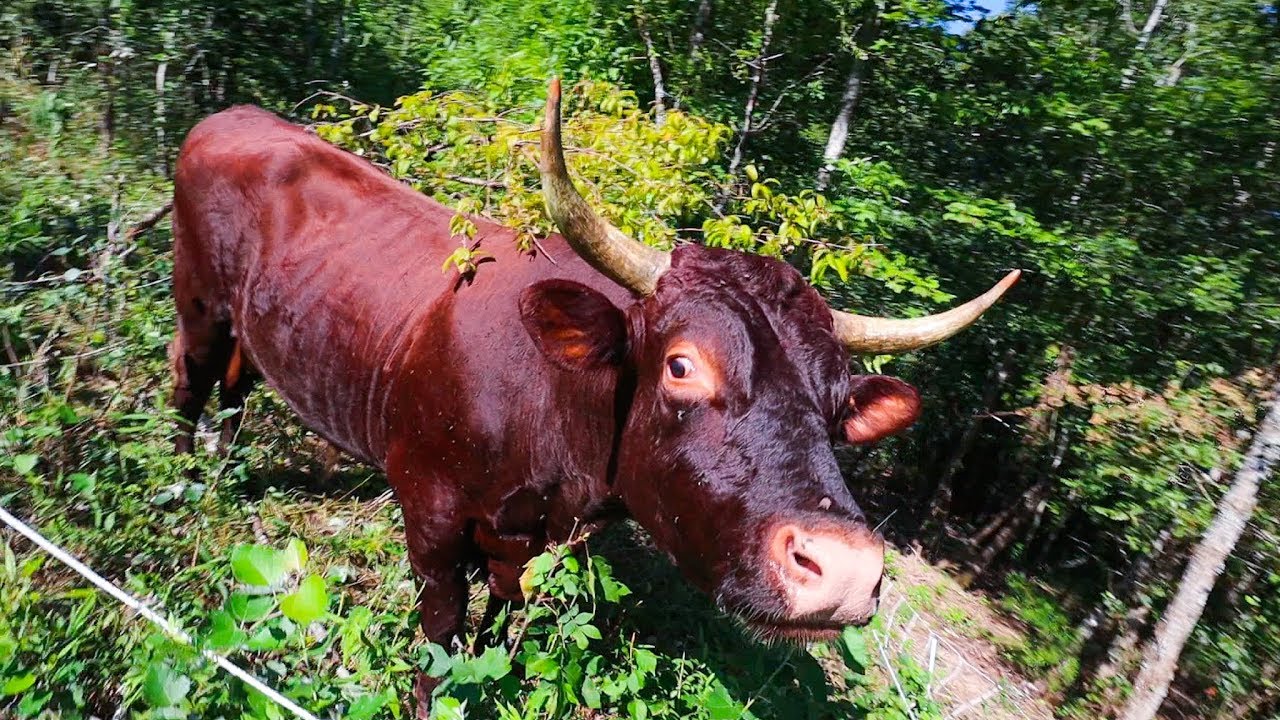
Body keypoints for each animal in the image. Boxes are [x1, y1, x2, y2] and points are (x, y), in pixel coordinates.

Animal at [170, 78, 1018, 713]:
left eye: (840, 406)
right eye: (681, 366)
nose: (843, 569)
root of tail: (233, 116)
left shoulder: (536, 545)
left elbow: (498, 628)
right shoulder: (432, 515)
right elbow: (441, 639)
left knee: (237, 386)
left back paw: (227, 471)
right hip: (199, 301)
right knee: (189, 383)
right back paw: (183, 489)